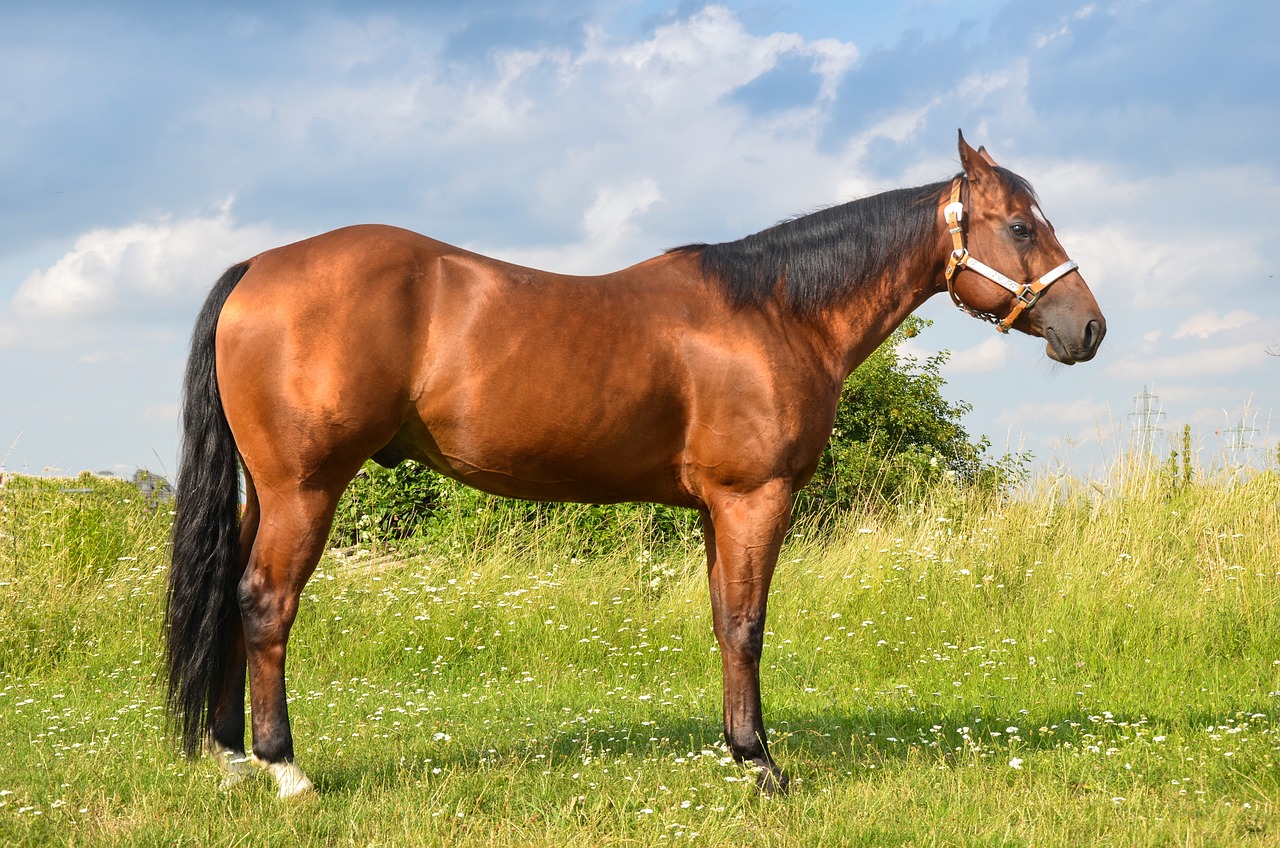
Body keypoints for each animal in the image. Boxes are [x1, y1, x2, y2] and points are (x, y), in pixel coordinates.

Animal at [165, 132, 1105, 798]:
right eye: (1021, 226)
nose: (1089, 328)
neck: (775, 311)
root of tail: (258, 267)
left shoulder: (715, 510)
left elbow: (723, 622)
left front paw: (739, 753)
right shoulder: (754, 500)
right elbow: (748, 626)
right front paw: (764, 768)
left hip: (266, 493)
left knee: (230, 595)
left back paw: (232, 757)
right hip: (306, 488)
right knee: (266, 601)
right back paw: (285, 768)